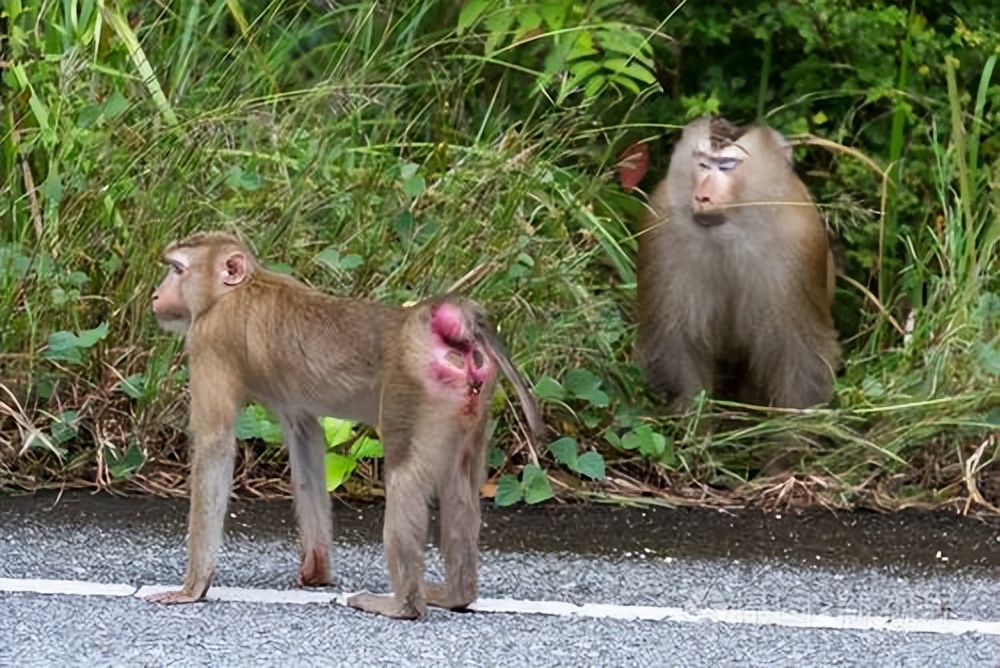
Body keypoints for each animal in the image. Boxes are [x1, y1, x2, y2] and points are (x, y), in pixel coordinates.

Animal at [146, 232, 544, 617]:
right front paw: (317, 569)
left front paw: (192, 588)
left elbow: (215, 444)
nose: (155, 294)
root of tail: (437, 323)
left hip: (412, 391)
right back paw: (456, 594)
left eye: (177, 270)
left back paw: (404, 606)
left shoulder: (209, 338)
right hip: (473, 403)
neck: (234, 291)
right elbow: (305, 437)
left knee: (403, 477)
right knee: (460, 484)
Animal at [633, 117, 840, 412]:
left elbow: (799, 352)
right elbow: (674, 340)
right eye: (703, 163)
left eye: (727, 166)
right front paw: (691, 416)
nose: (703, 196)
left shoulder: (800, 237)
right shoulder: (660, 225)